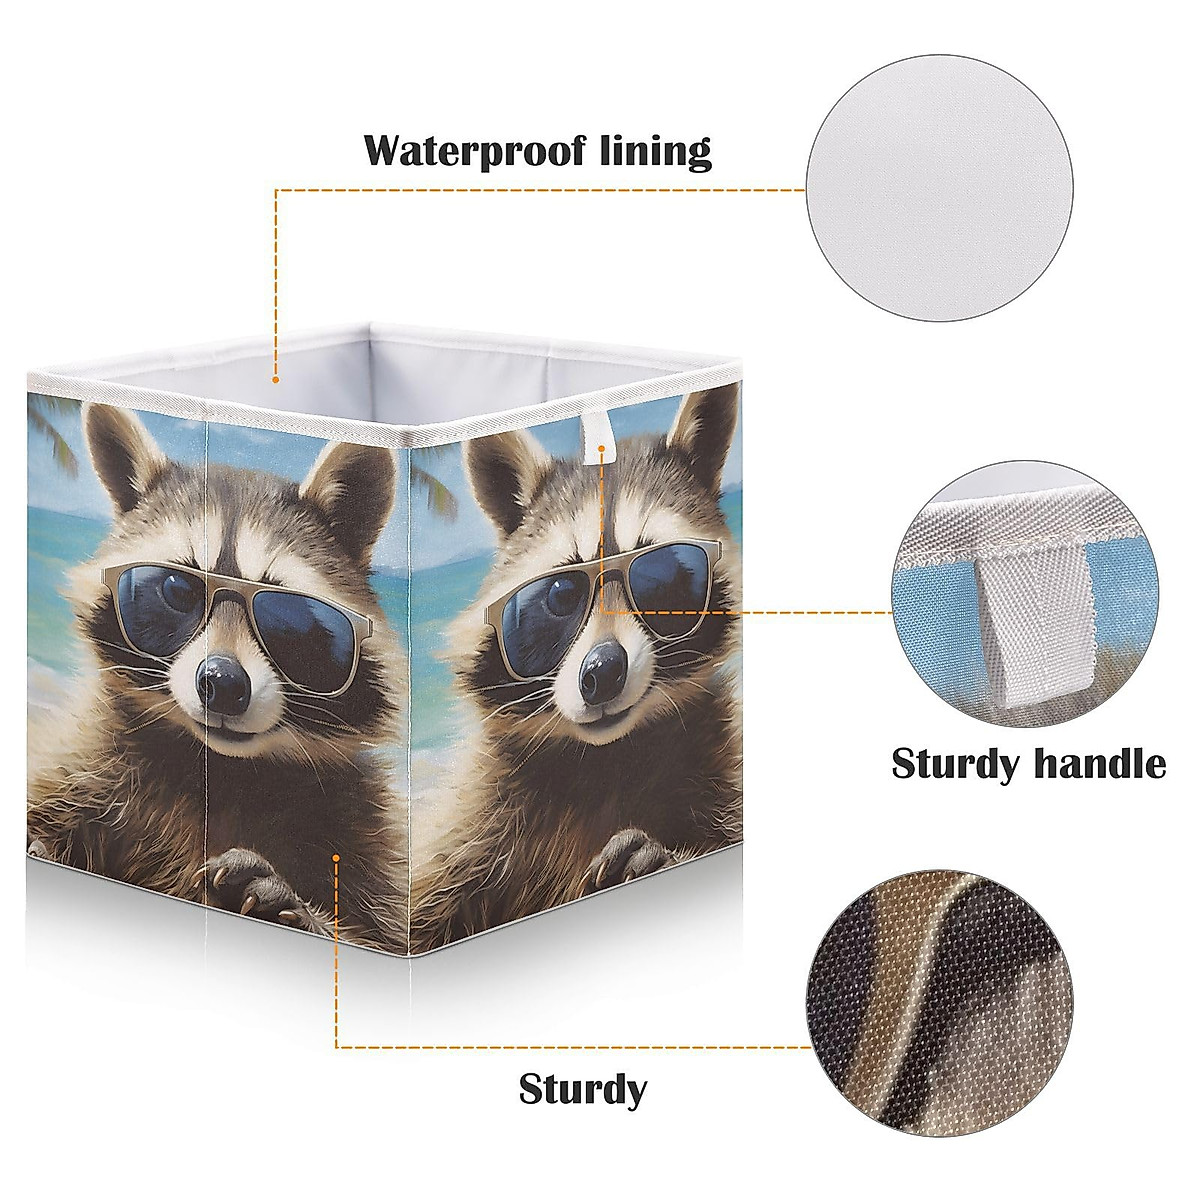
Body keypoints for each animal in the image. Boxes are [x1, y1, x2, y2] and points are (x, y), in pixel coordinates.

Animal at [28, 403, 408, 953]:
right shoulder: (81, 764)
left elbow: (381, 932)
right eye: (175, 589)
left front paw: (298, 910)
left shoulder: (367, 834)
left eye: (288, 616)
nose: (223, 682)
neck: (220, 767)